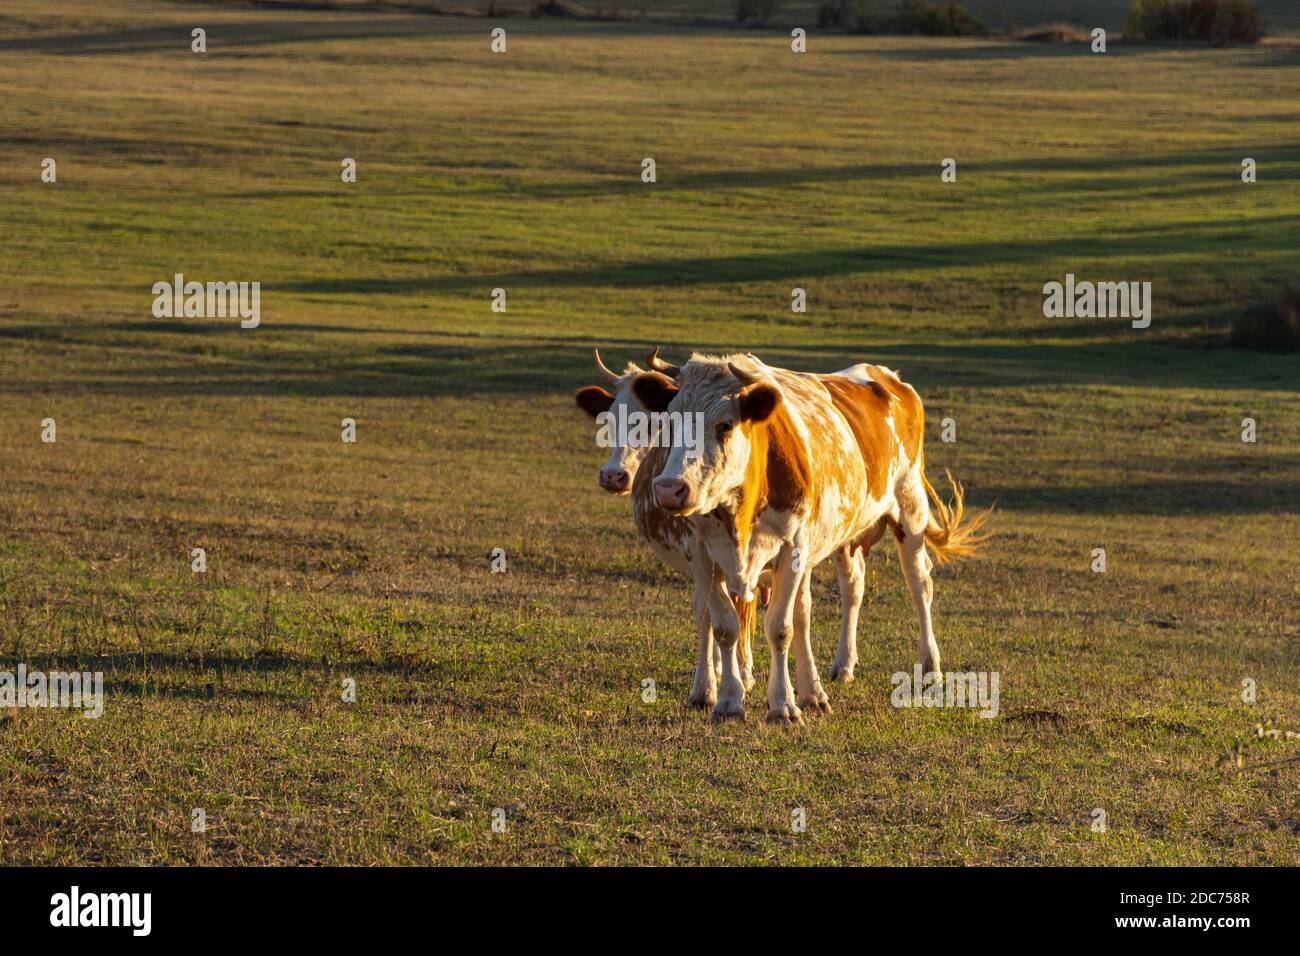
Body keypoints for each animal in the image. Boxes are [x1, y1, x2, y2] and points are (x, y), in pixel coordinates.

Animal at [631, 354, 989, 725]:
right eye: (669, 424)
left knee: (920, 584)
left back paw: (929, 665)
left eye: (725, 426)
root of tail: (889, 377)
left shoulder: (793, 548)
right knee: (851, 587)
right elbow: (724, 626)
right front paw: (729, 701)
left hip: (910, 507)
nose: (669, 488)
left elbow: (780, 627)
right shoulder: (702, 555)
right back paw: (839, 668)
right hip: (843, 533)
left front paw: (783, 706)